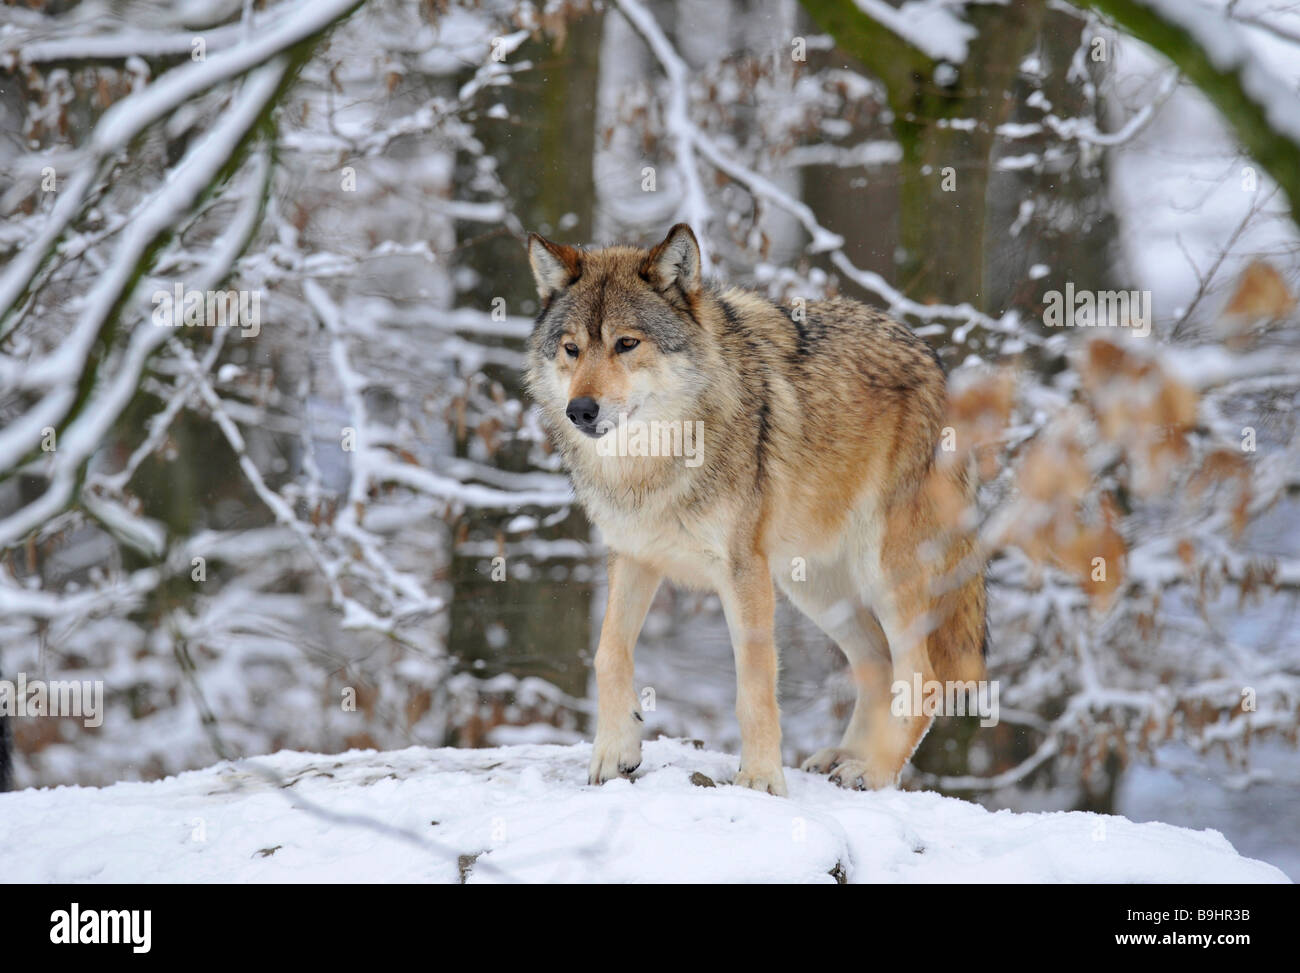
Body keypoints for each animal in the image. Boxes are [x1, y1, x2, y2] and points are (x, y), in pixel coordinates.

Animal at [525, 224, 986, 796]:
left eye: (626, 343)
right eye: (571, 349)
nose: (580, 411)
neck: (652, 465)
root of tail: (941, 367)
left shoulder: (743, 572)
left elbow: (756, 686)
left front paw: (763, 779)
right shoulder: (634, 556)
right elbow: (608, 654)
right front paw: (614, 754)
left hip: (884, 573)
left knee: (923, 677)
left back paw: (874, 771)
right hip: (814, 587)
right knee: (878, 665)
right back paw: (845, 758)